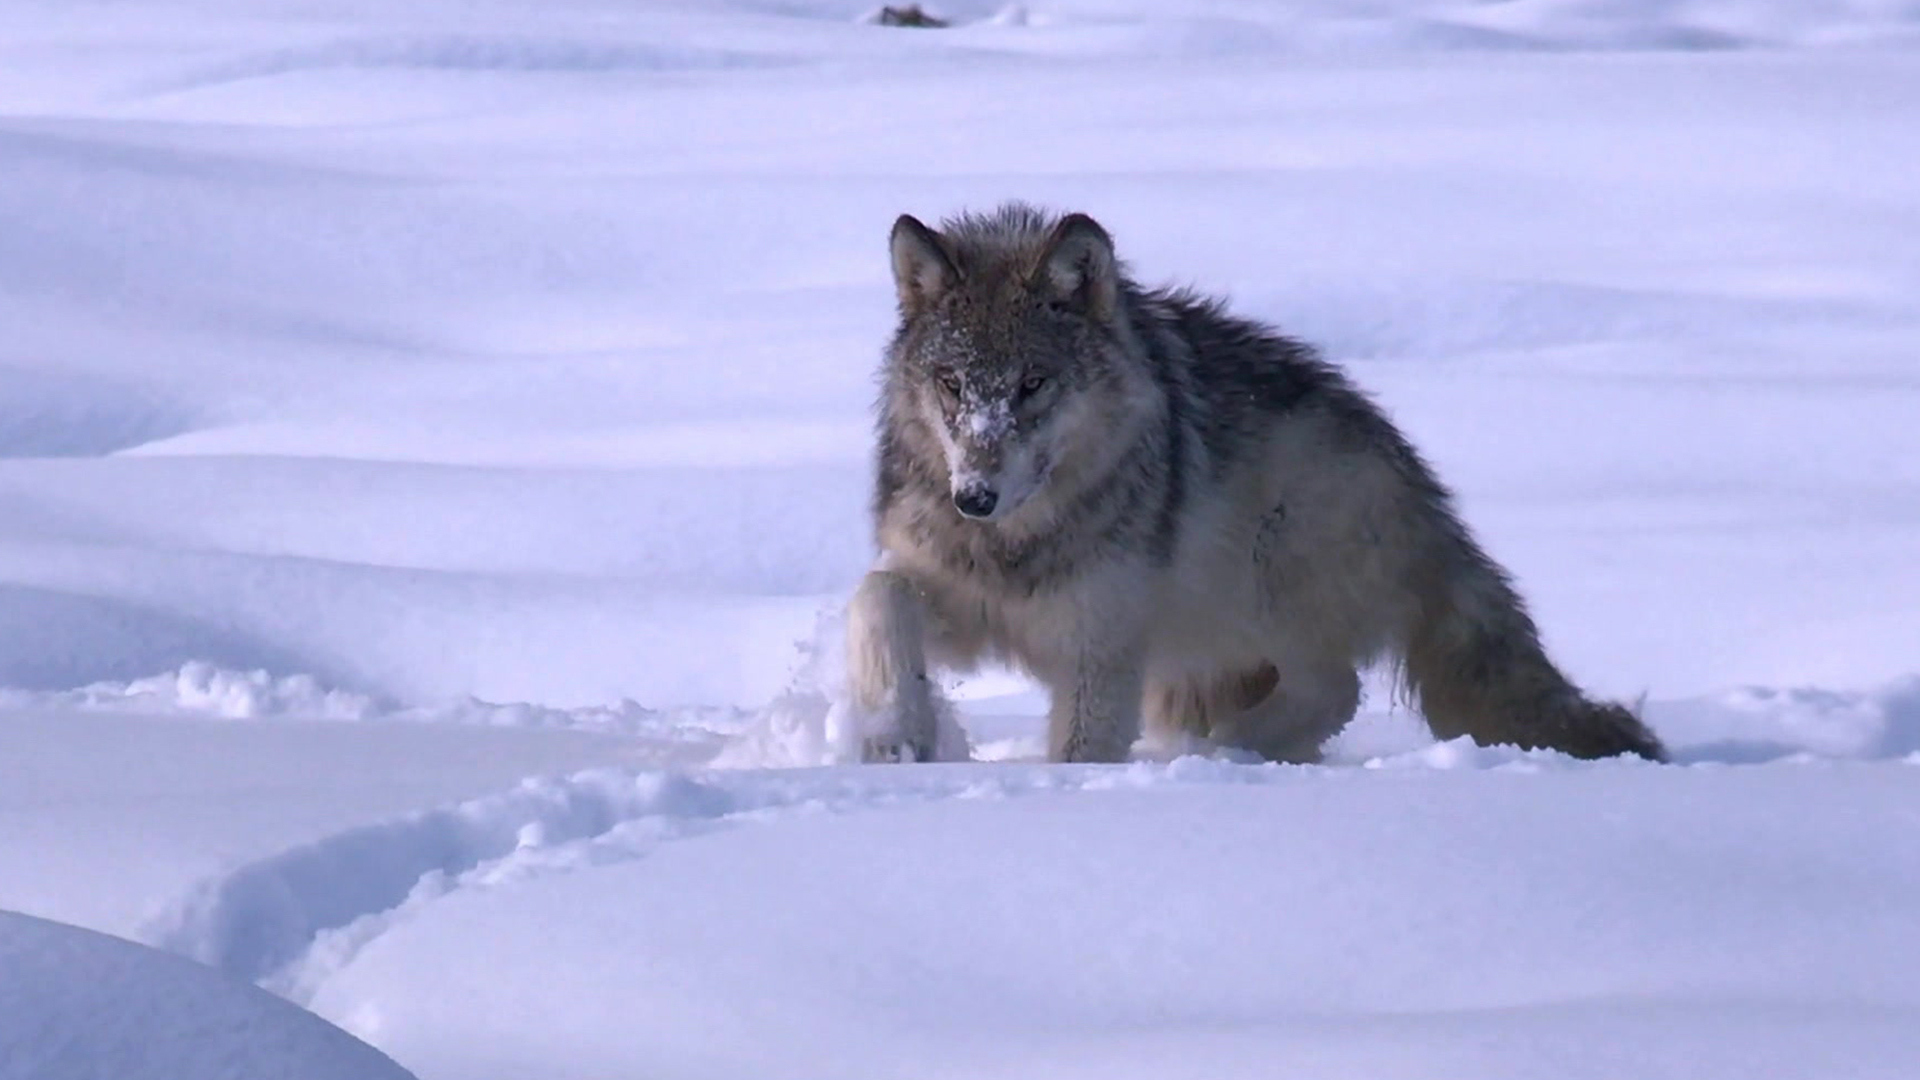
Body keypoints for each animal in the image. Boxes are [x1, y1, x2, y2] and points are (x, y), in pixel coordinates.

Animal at [845, 202, 1663, 766]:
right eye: (952, 384)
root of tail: (1420, 483)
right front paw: (892, 732)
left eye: (1032, 384)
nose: (974, 498)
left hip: (1267, 574)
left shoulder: (1098, 651)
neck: (1016, 543)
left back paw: (1222, 755)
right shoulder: (959, 598)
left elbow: (1082, 751)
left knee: (1335, 690)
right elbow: (878, 596)